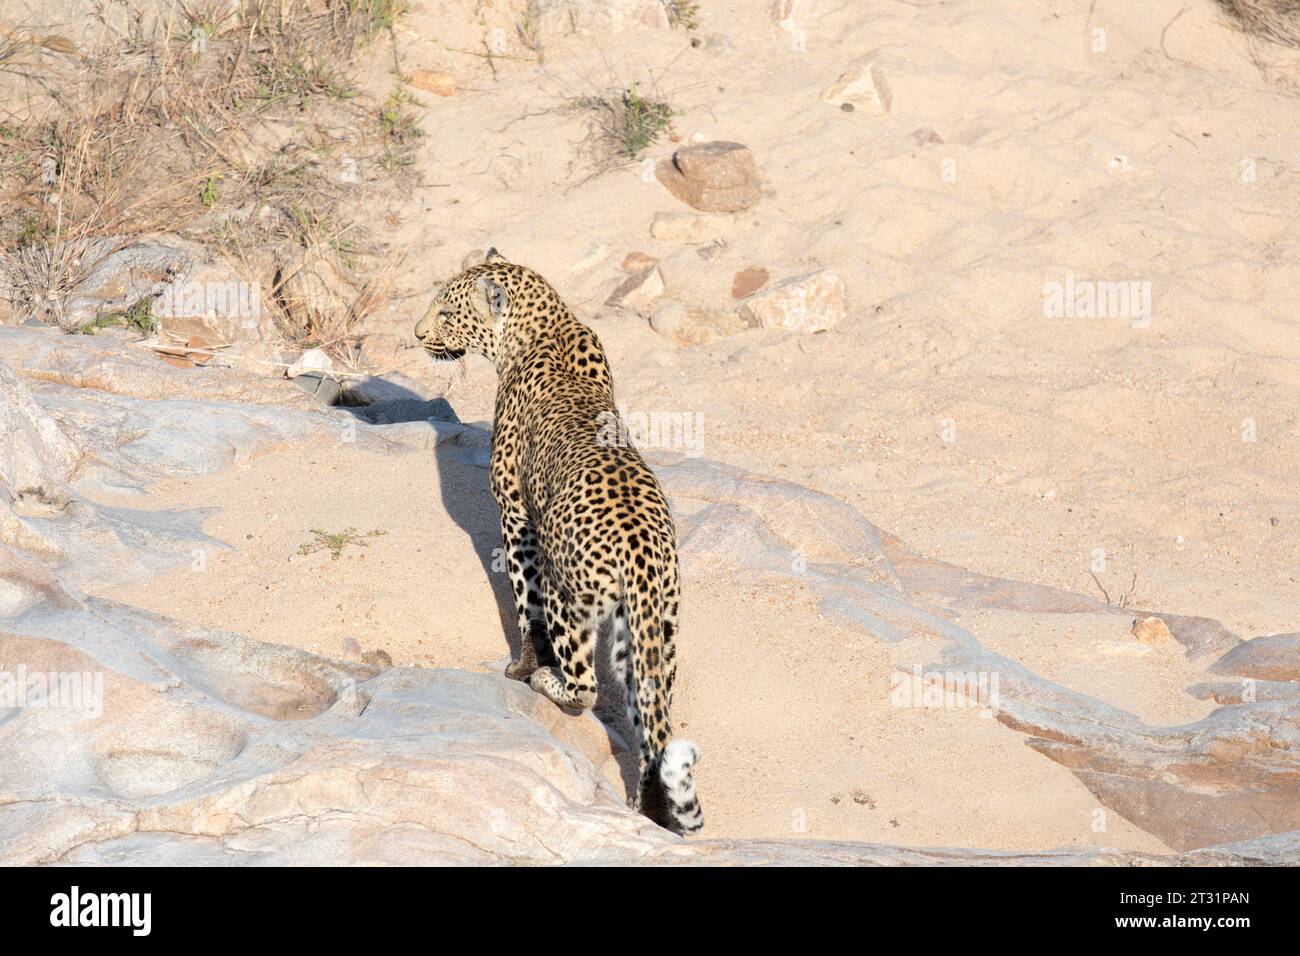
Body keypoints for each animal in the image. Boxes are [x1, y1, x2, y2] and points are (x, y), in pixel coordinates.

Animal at [413, 248, 703, 835]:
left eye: (447, 312)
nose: (416, 334)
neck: (548, 325)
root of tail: (642, 552)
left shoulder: (516, 515)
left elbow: (525, 604)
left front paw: (523, 666)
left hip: (571, 594)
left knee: (585, 683)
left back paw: (549, 683)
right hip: (654, 629)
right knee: (652, 721)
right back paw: (650, 808)